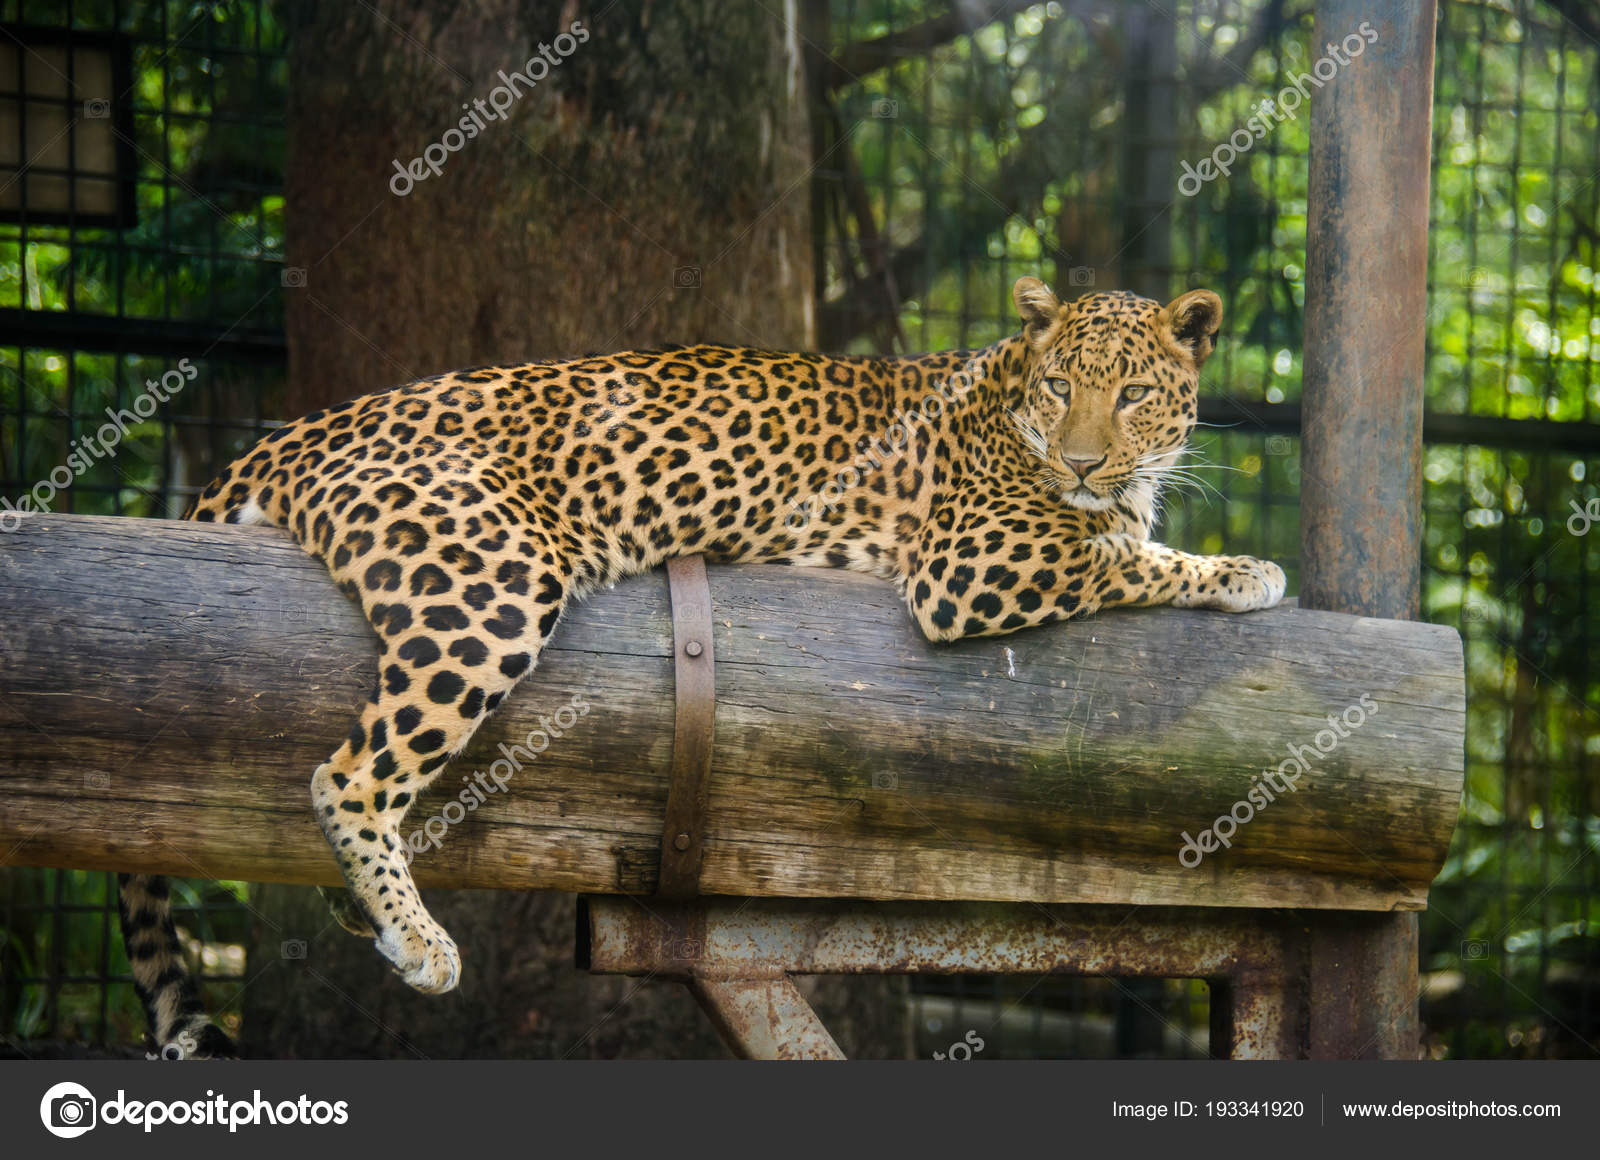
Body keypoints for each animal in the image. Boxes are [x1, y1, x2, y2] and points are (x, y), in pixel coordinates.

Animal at [120, 277, 1284, 1057]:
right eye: (1059, 389)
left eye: (1131, 394)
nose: (1083, 459)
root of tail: (286, 433)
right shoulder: (973, 564)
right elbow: (1124, 549)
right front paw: (1246, 570)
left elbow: (1126, 529)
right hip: (490, 581)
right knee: (347, 773)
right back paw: (418, 937)